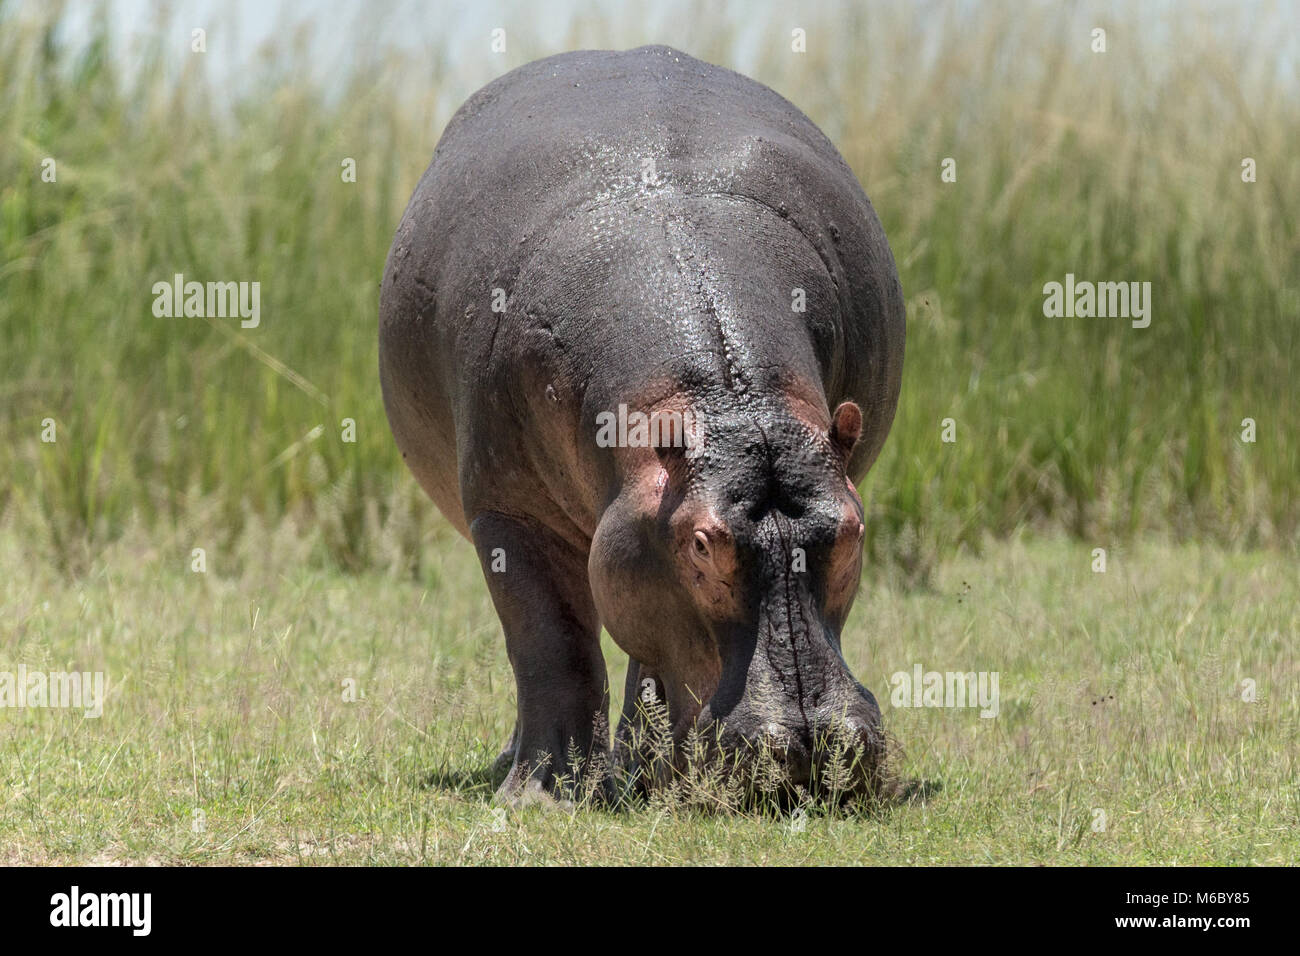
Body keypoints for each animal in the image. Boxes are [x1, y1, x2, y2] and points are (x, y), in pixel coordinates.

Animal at [379, 45, 905, 804]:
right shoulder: (507, 511)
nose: (810, 744)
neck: (729, 396)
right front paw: (541, 796)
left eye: (853, 531)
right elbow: (551, 644)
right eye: (700, 545)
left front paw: (634, 776)